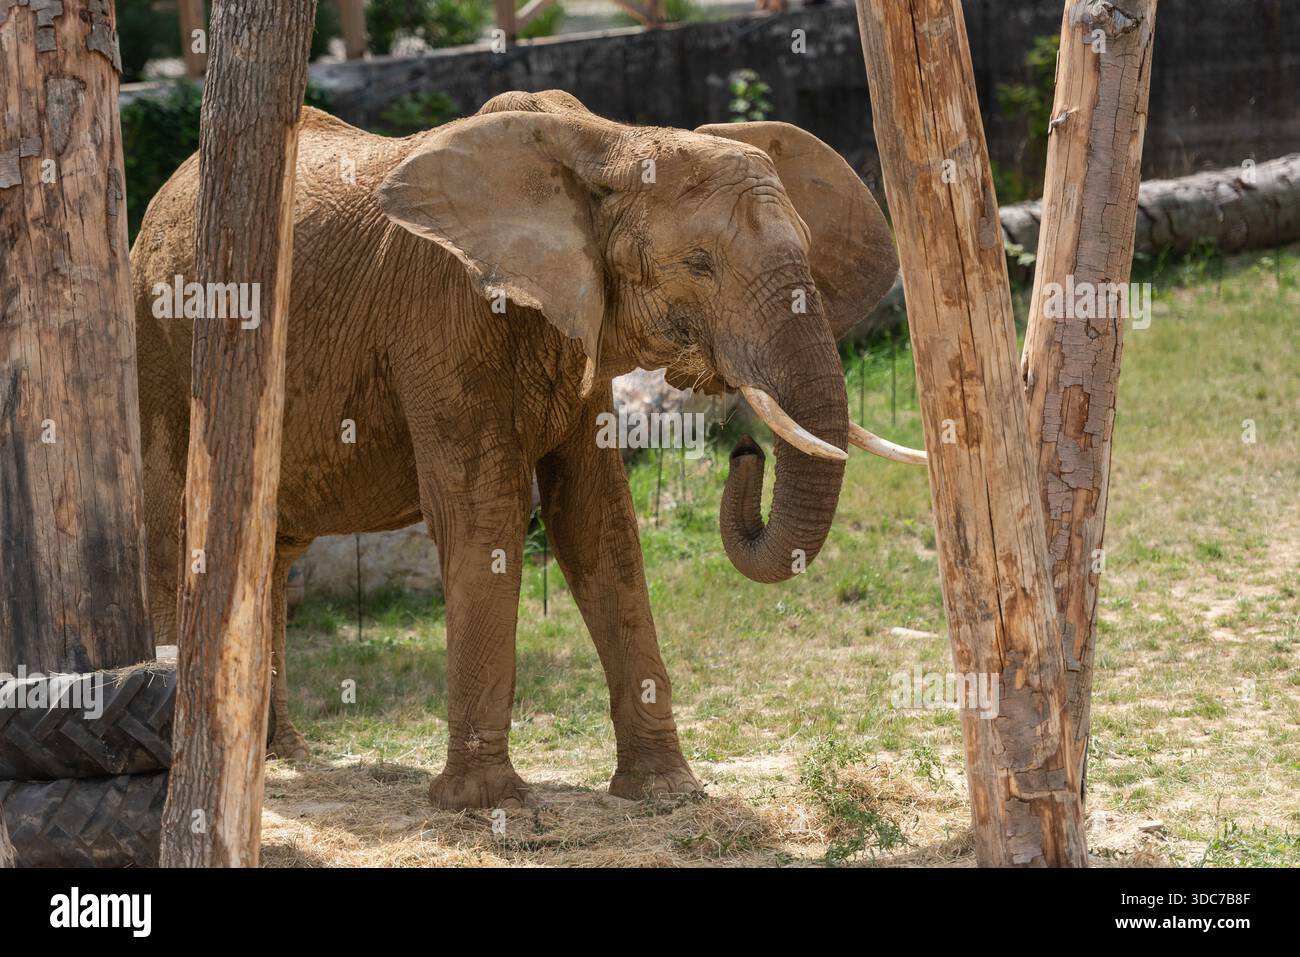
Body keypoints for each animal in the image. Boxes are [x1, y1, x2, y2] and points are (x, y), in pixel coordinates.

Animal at [131, 89, 918, 810]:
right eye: (700, 263)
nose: (745, 451)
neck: (611, 142)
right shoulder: (442, 316)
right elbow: (485, 515)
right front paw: (486, 805)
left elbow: (598, 520)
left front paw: (664, 793)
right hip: (158, 330)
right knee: (176, 524)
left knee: (270, 549)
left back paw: (280, 753)